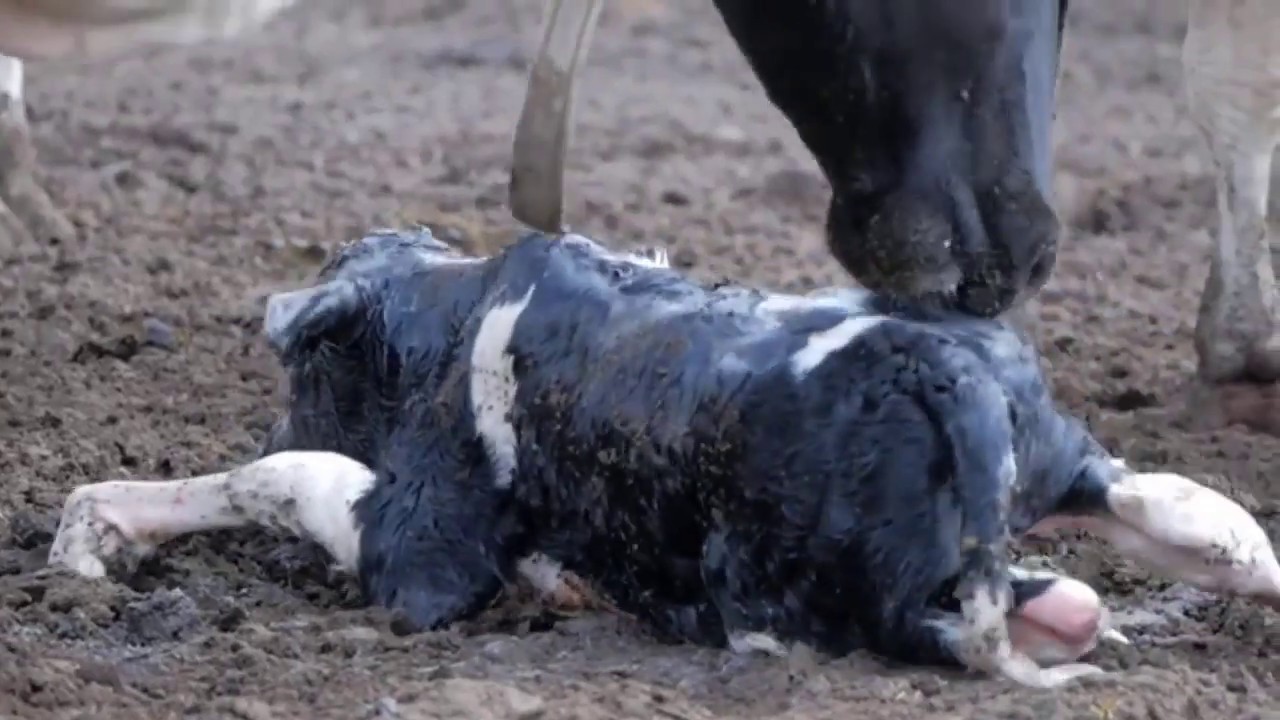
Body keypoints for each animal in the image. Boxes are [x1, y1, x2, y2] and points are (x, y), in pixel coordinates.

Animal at [47, 227, 1280, 688]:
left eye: (305, 374)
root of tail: (946, 372)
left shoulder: (422, 557)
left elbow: (287, 481)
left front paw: (98, 533)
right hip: (1056, 460)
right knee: (1182, 517)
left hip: (809, 593)